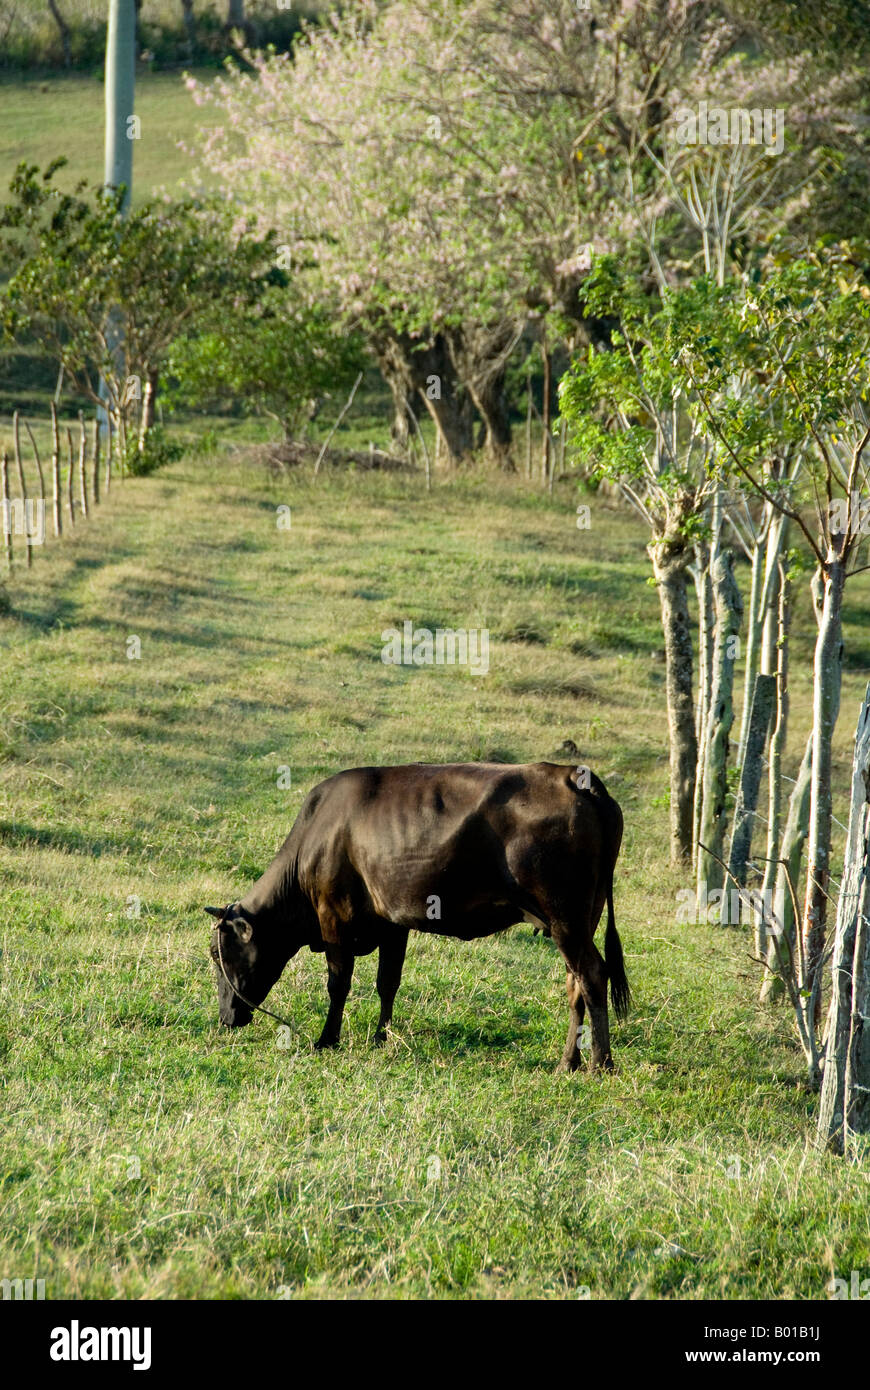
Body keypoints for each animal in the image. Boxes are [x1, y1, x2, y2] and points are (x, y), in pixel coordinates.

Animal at [205, 761, 628, 1072]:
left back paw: (600, 1065)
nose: (226, 1018)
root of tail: (573, 776)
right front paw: (381, 1037)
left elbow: (338, 985)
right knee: (576, 984)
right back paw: (567, 1063)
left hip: (566, 919)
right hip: (581, 919)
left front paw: (327, 1040)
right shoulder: (392, 922)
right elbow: (387, 982)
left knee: (592, 975)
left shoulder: (333, 917)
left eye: (217, 953)